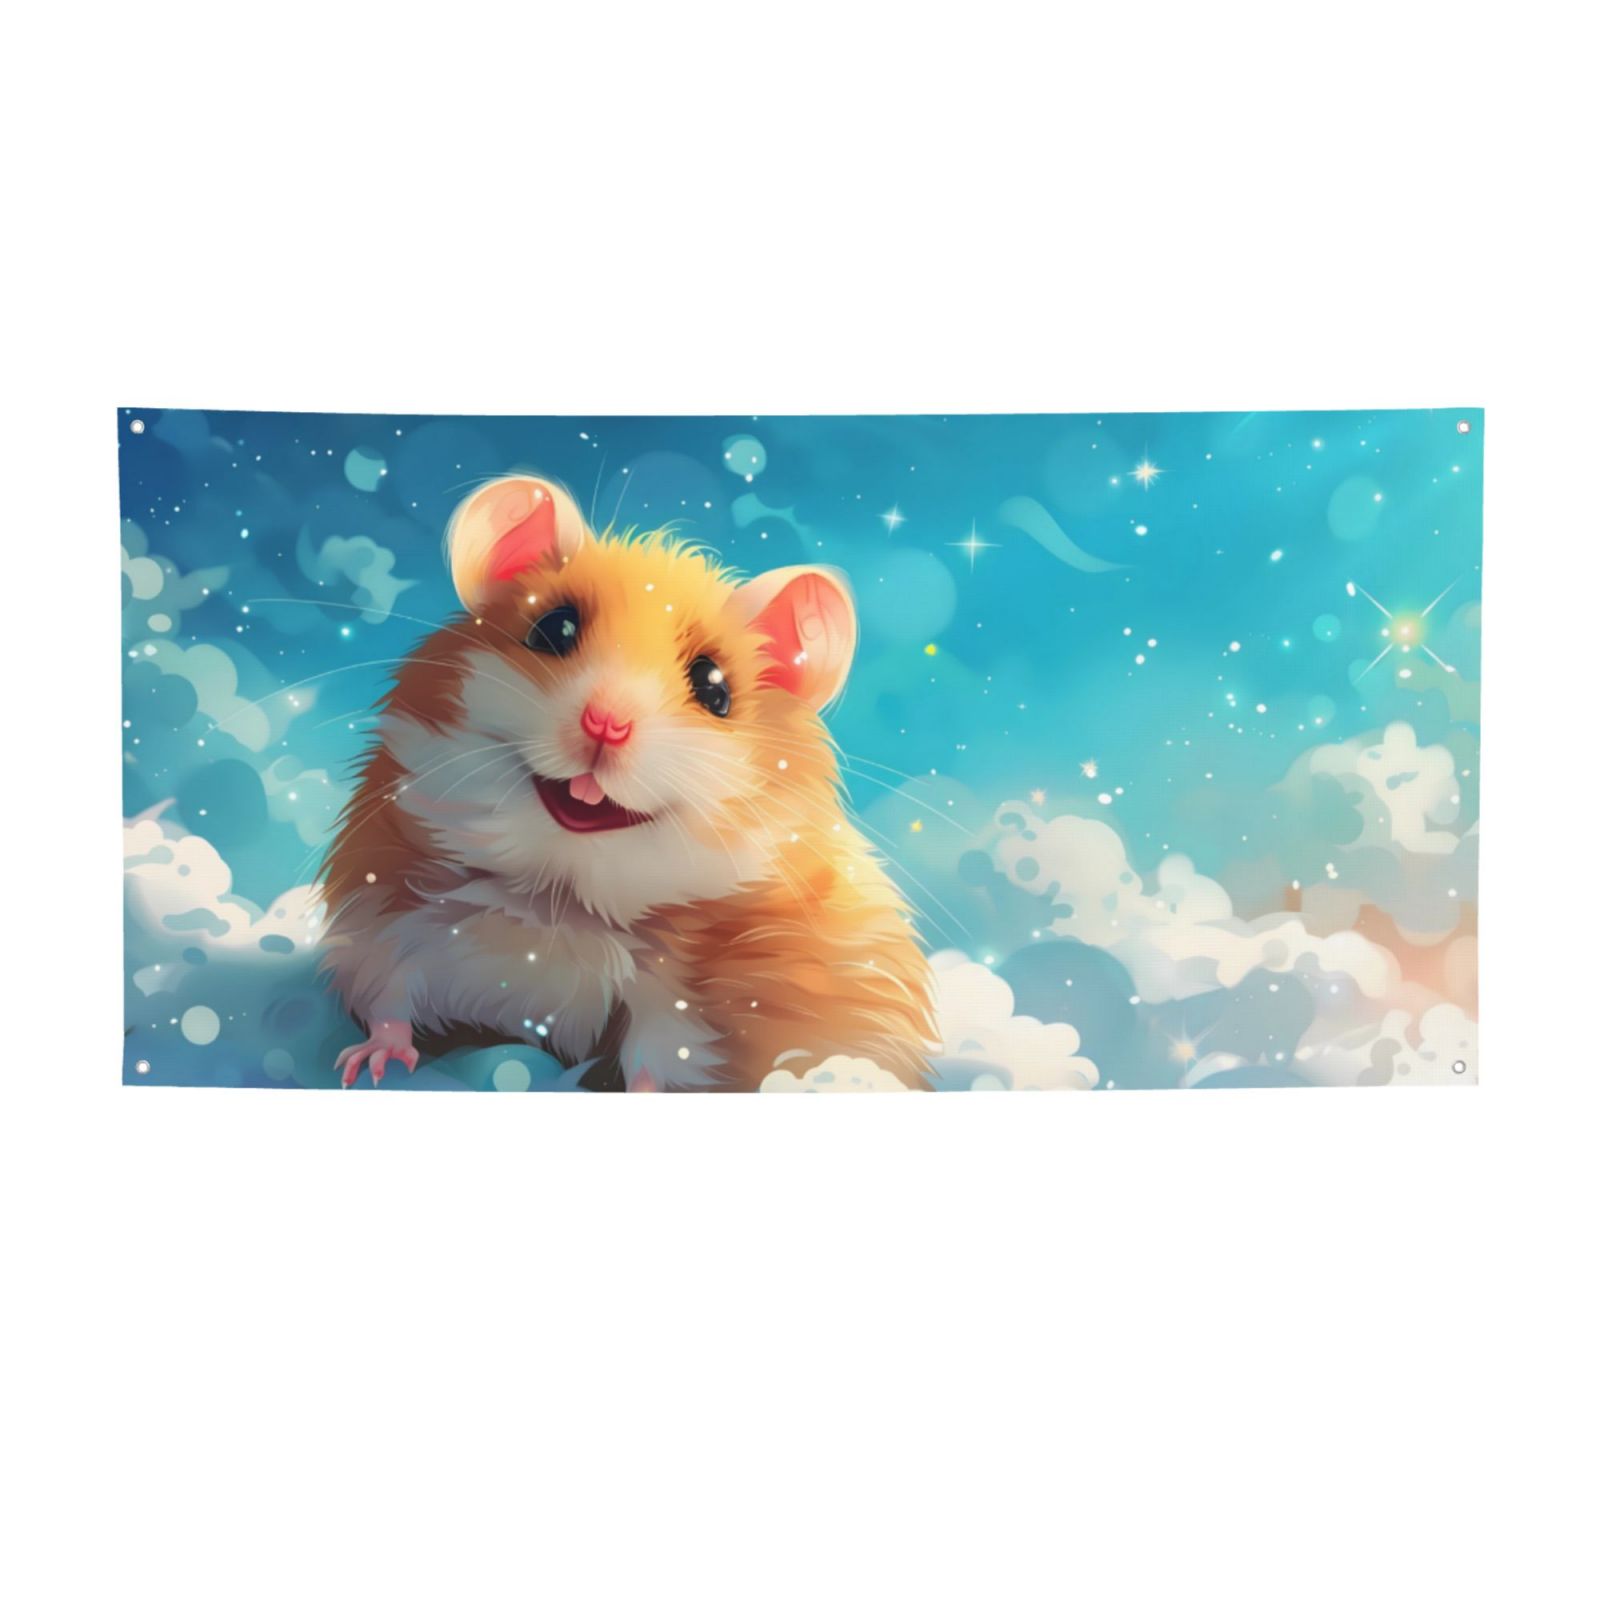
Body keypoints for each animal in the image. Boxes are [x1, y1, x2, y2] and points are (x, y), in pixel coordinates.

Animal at [319, 475, 936, 1091]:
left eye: (714, 688)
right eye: (553, 628)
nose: (606, 725)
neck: (555, 893)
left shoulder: (678, 1003)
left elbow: (658, 1060)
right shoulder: (386, 920)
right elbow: (389, 1002)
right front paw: (365, 1066)